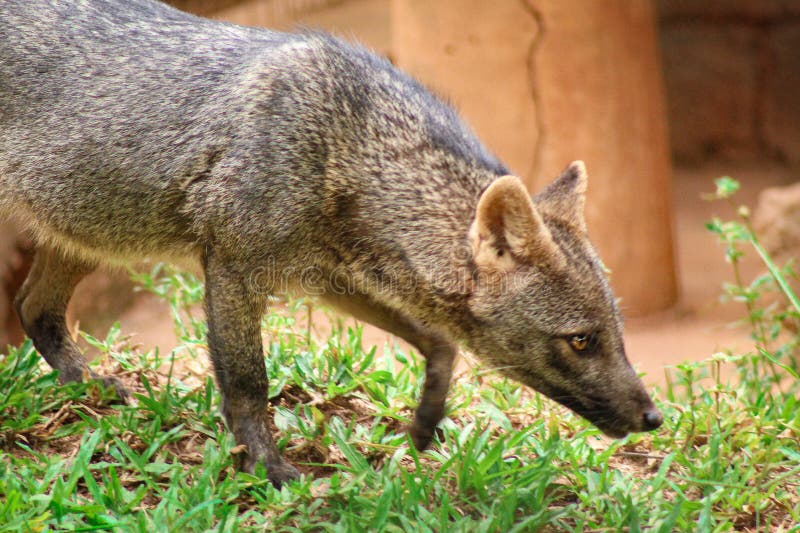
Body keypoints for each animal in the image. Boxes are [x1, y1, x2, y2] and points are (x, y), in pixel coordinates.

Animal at [0, 0, 663, 487]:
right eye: (580, 341)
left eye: (616, 331)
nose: (654, 417)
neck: (344, 148)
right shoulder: (234, 269)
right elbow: (248, 384)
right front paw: (267, 467)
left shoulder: (331, 280)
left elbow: (439, 343)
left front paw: (425, 424)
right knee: (31, 307)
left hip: (85, 235)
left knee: (32, 308)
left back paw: (84, 384)